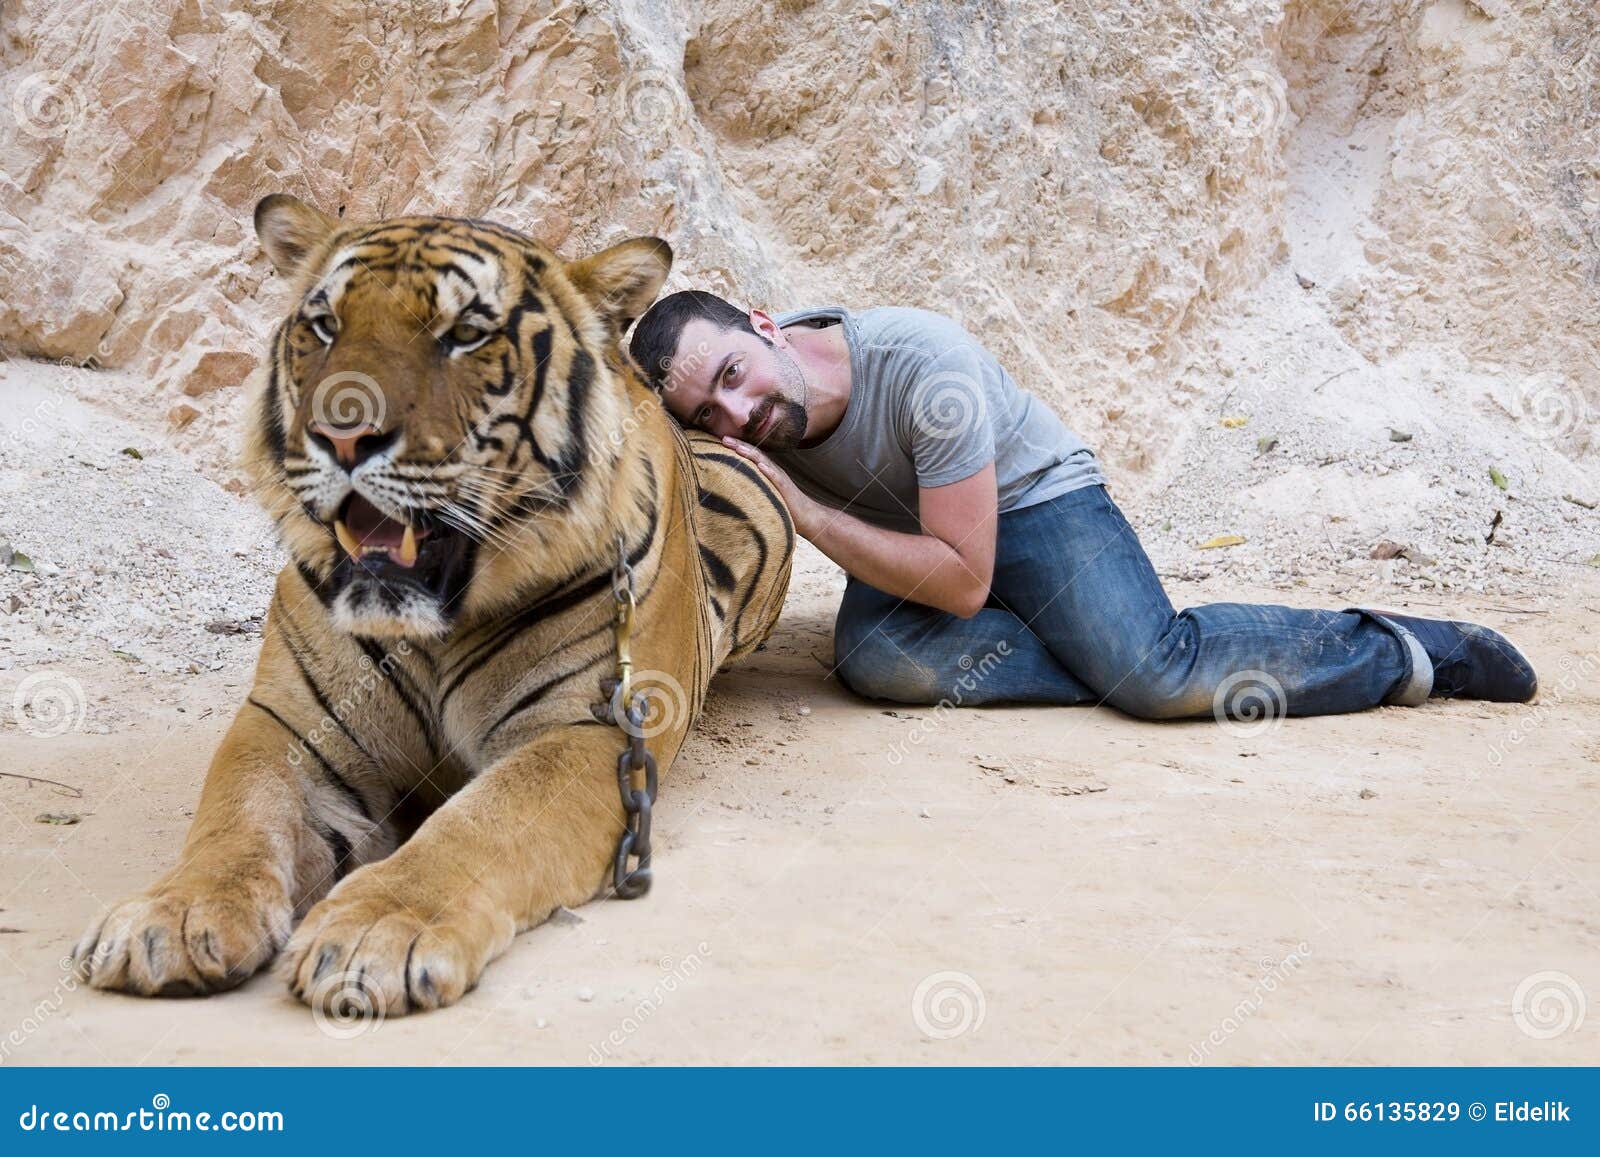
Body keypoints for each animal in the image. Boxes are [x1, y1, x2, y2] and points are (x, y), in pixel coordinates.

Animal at [72, 194, 794, 1014]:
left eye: (465, 334)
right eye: (325, 324)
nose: (339, 431)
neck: (437, 625)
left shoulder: (587, 729)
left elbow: (480, 822)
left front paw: (375, 932)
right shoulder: (288, 722)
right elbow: (236, 814)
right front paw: (173, 916)